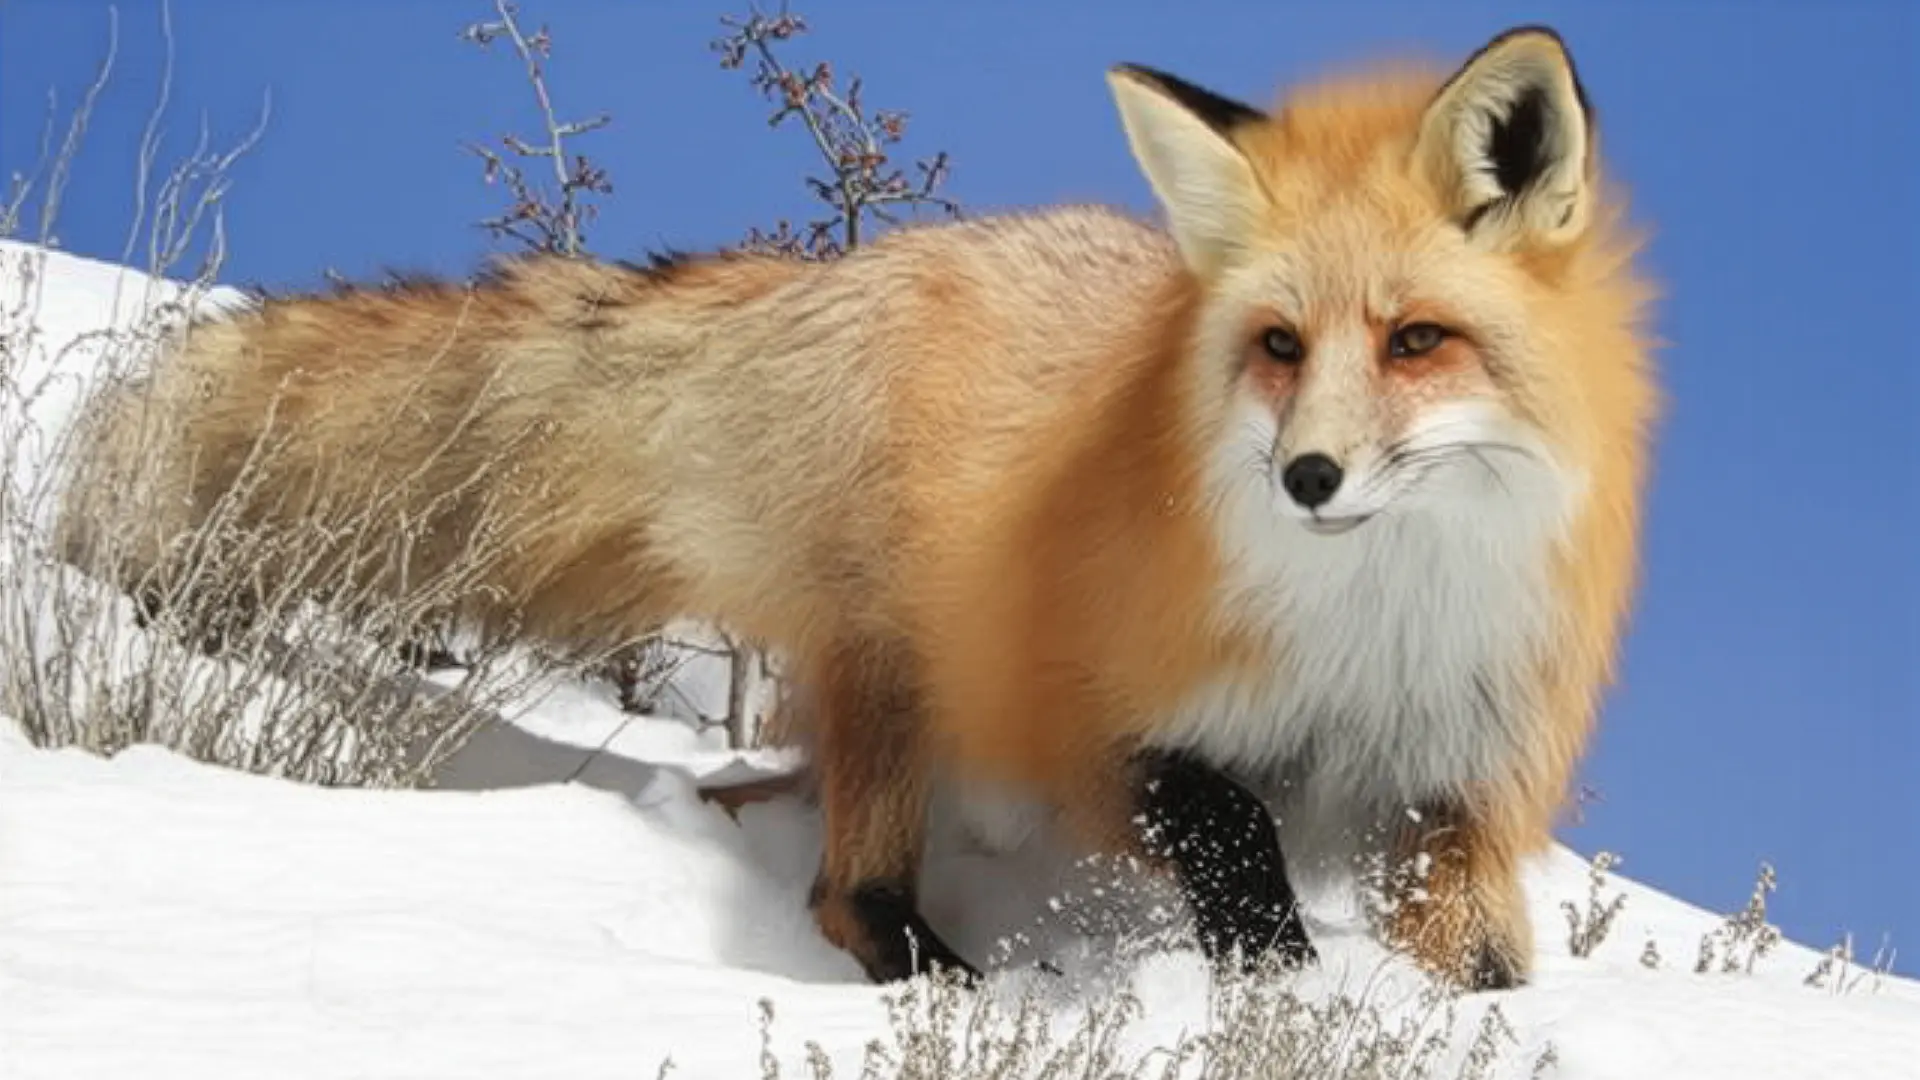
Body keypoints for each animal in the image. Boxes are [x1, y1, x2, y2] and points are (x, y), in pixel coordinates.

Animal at [59, 25, 1657, 991]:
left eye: (1415, 341)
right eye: (1278, 347)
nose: (1306, 478)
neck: (1367, 636)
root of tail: (860, 268)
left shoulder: (1457, 788)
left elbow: (1483, 959)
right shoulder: (1105, 714)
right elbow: (1235, 848)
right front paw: (1277, 994)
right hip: (898, 663)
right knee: (848, 886)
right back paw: (937, 982)